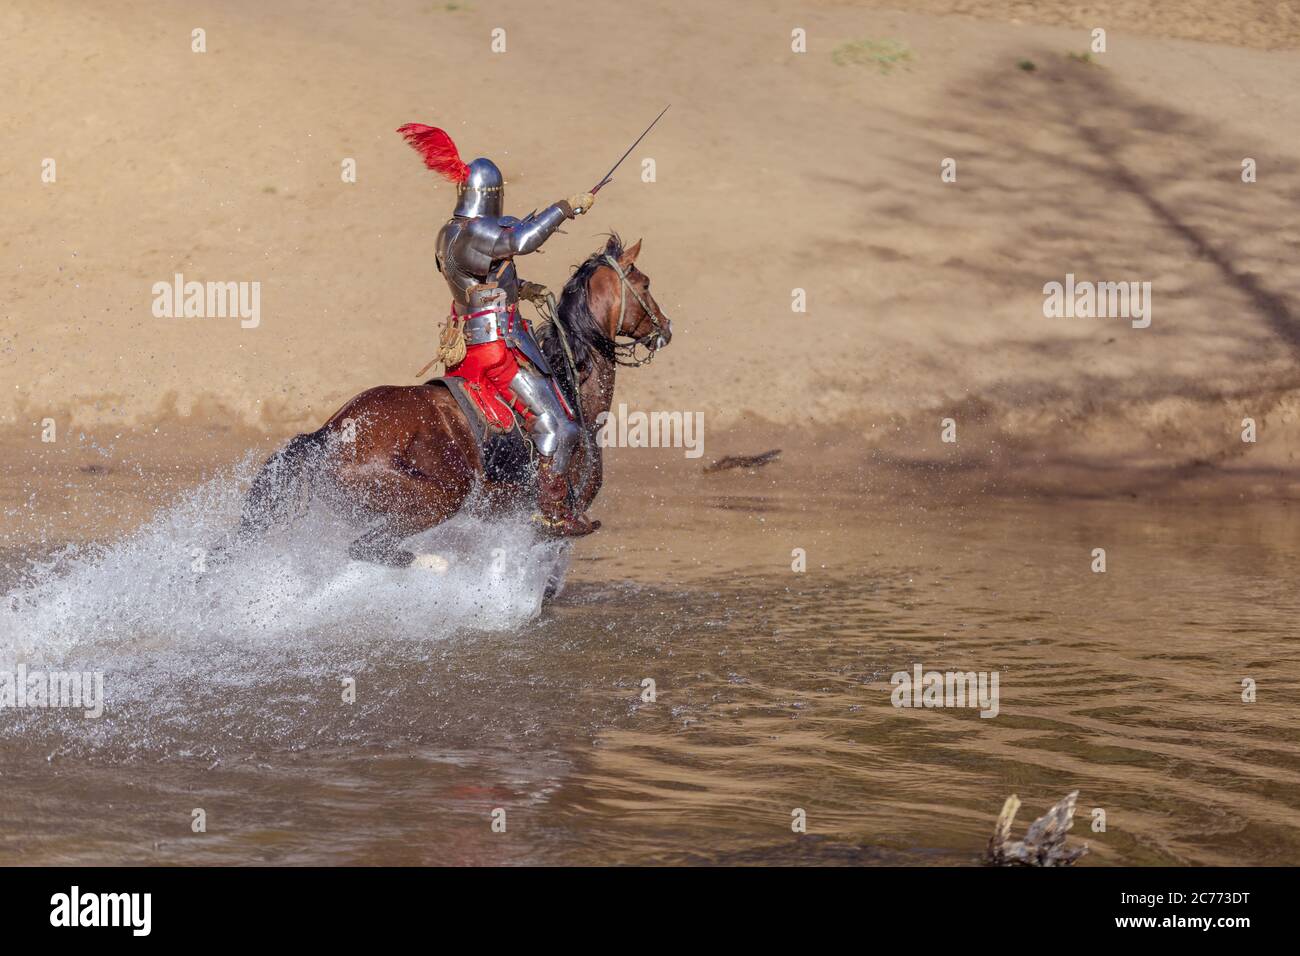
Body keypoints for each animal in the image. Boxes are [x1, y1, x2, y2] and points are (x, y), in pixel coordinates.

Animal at [231, 234, 672, 569]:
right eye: (646, 283)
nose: (665, 328)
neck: (568, 379)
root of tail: (328, 437)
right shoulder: (547, 526)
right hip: (440, 497)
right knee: (369, 548)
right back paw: (435, 565)